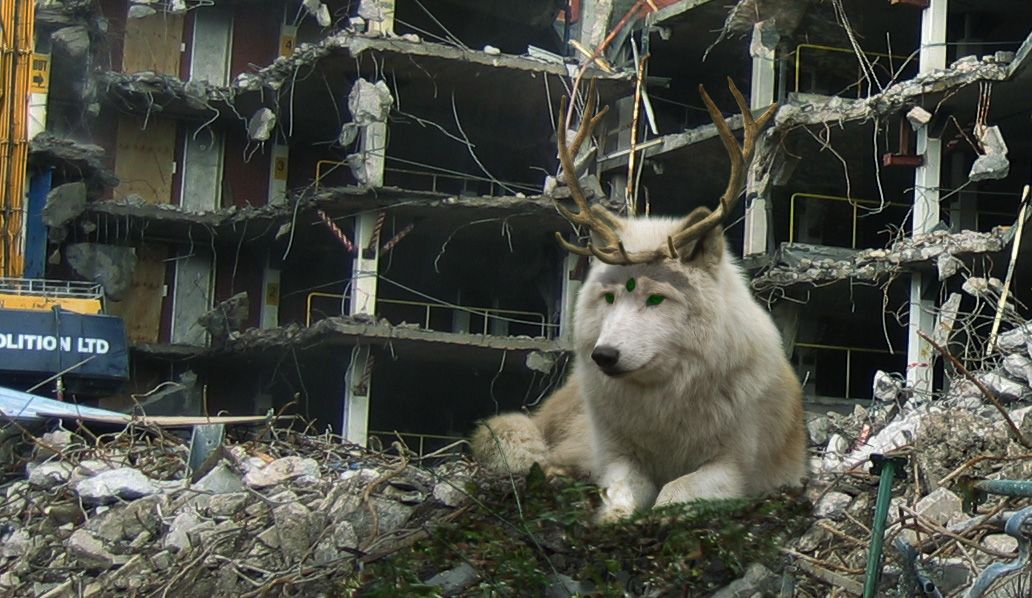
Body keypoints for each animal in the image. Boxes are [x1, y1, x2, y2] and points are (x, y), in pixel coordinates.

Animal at [471, 79, 807, 522]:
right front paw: (612, 518)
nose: (603, 356)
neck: (664, 407)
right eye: (610, 298)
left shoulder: (733, 469)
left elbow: (673, 492)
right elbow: (621, 496)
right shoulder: (617, 459)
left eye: (656, 299)